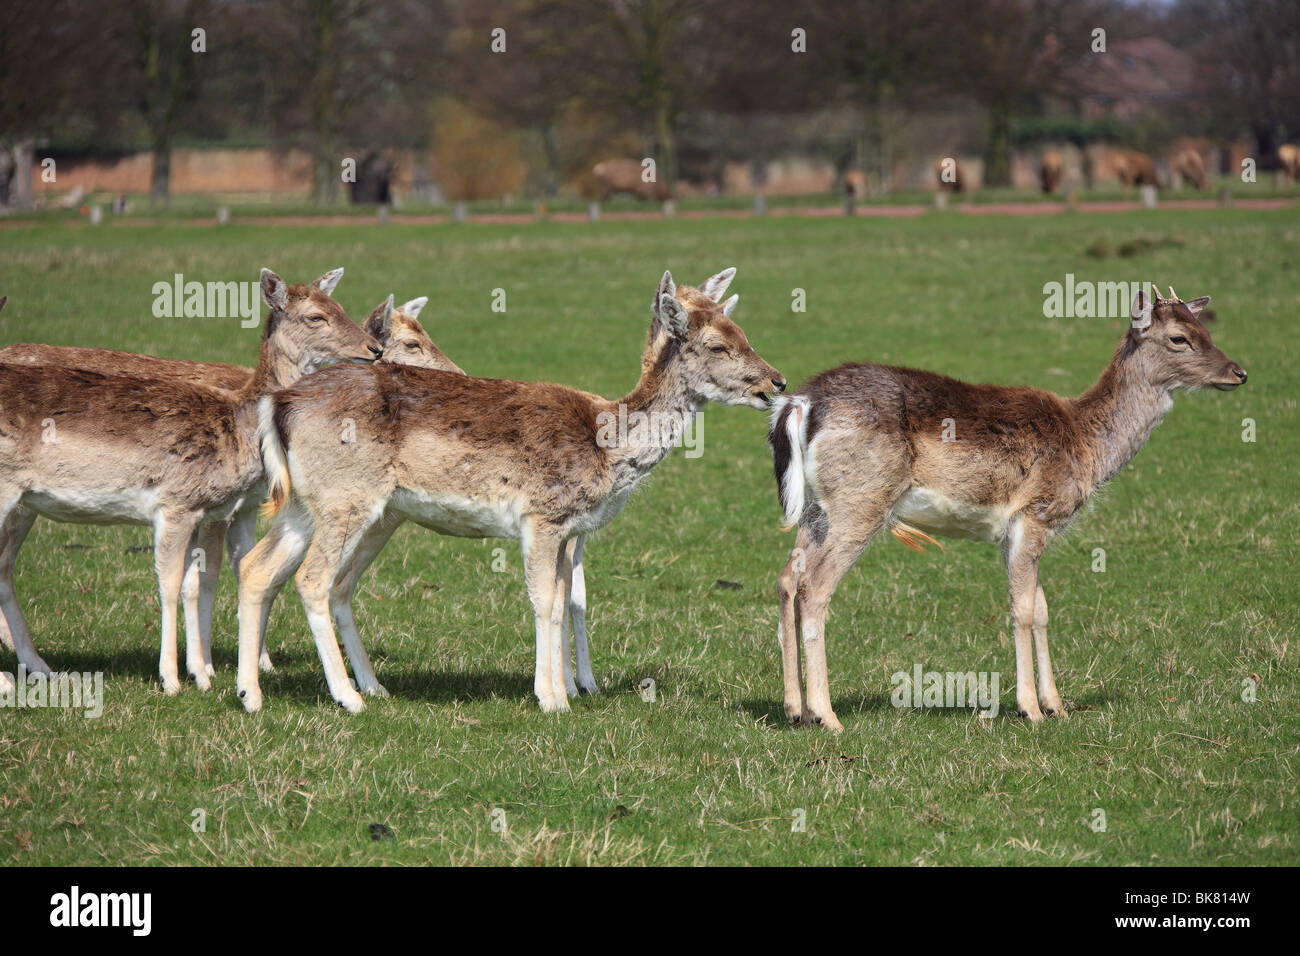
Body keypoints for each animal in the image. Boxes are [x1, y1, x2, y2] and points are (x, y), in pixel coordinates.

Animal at [0, 291, 460, 686]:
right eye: (411, 342)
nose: (459, 376)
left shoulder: (247, 504)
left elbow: (242, 569)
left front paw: (248, 663)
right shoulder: (217, 506)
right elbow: (209, 576)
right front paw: (208, 668)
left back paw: (35, 665)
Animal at [231, 267, 784, 715]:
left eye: (745, 333)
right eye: (716, 345)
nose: (776, 382)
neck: (608, 445)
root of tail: (277, 404)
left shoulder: (568, 529)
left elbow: (563, 602)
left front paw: (567, 691)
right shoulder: (541, 516)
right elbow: (543, 601)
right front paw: (552, 699)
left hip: (308, 505)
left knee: (259, 567)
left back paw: (252, 694)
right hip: (348, 498)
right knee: (312, 579)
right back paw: (349, 698)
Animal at [769, 286, 1246, 731]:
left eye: (1207, 330)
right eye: (1179, 337)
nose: (1239, 372)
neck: (1088, 447)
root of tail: (799, 404)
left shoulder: (1014, 531)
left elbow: (1042, 609)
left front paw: (1057, 706)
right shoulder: (1035, 512)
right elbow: (1023, 610)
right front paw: (1030, 709)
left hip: (816, 510)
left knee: (788, 577)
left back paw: (795, 709)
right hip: (861, 501)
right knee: (815, 587)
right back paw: (826, 714)